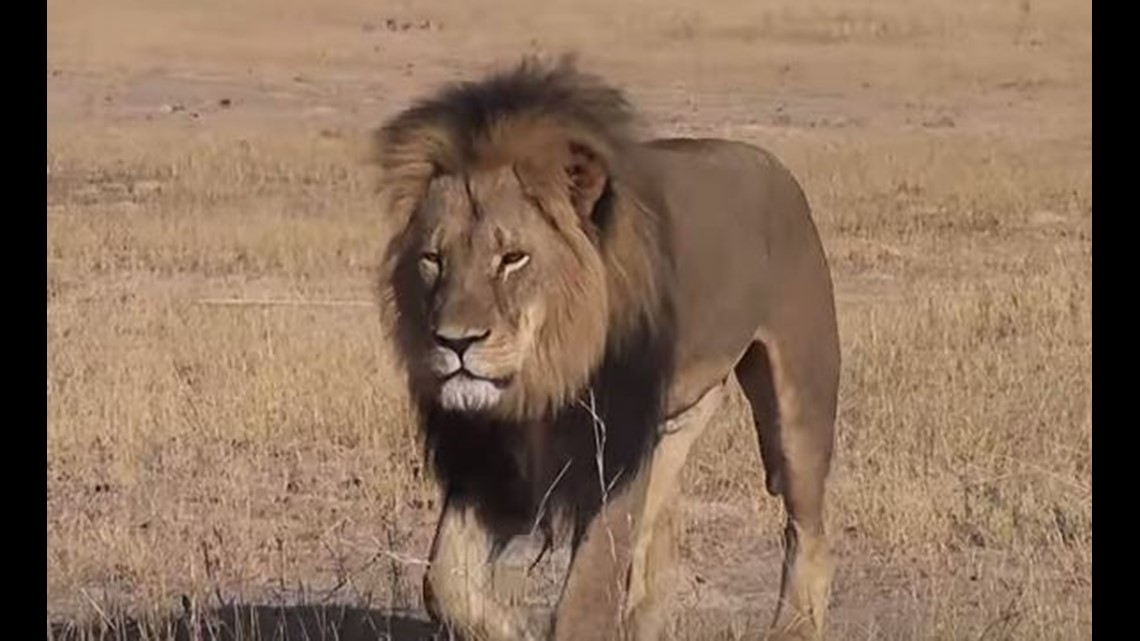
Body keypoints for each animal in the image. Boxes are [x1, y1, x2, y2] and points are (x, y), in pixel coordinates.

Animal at [371, 56, 841, 641]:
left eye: (513, 258)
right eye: (433, 258)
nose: (455, 342)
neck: (549, 370)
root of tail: (772, 164)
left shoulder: (616, 448)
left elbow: (587, 598)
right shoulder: (491, 453)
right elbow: (445, 581)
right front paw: (514, 628)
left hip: (800, 402)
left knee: (807, 533)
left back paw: (792, 627)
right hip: (676, 426)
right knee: (655, 550)